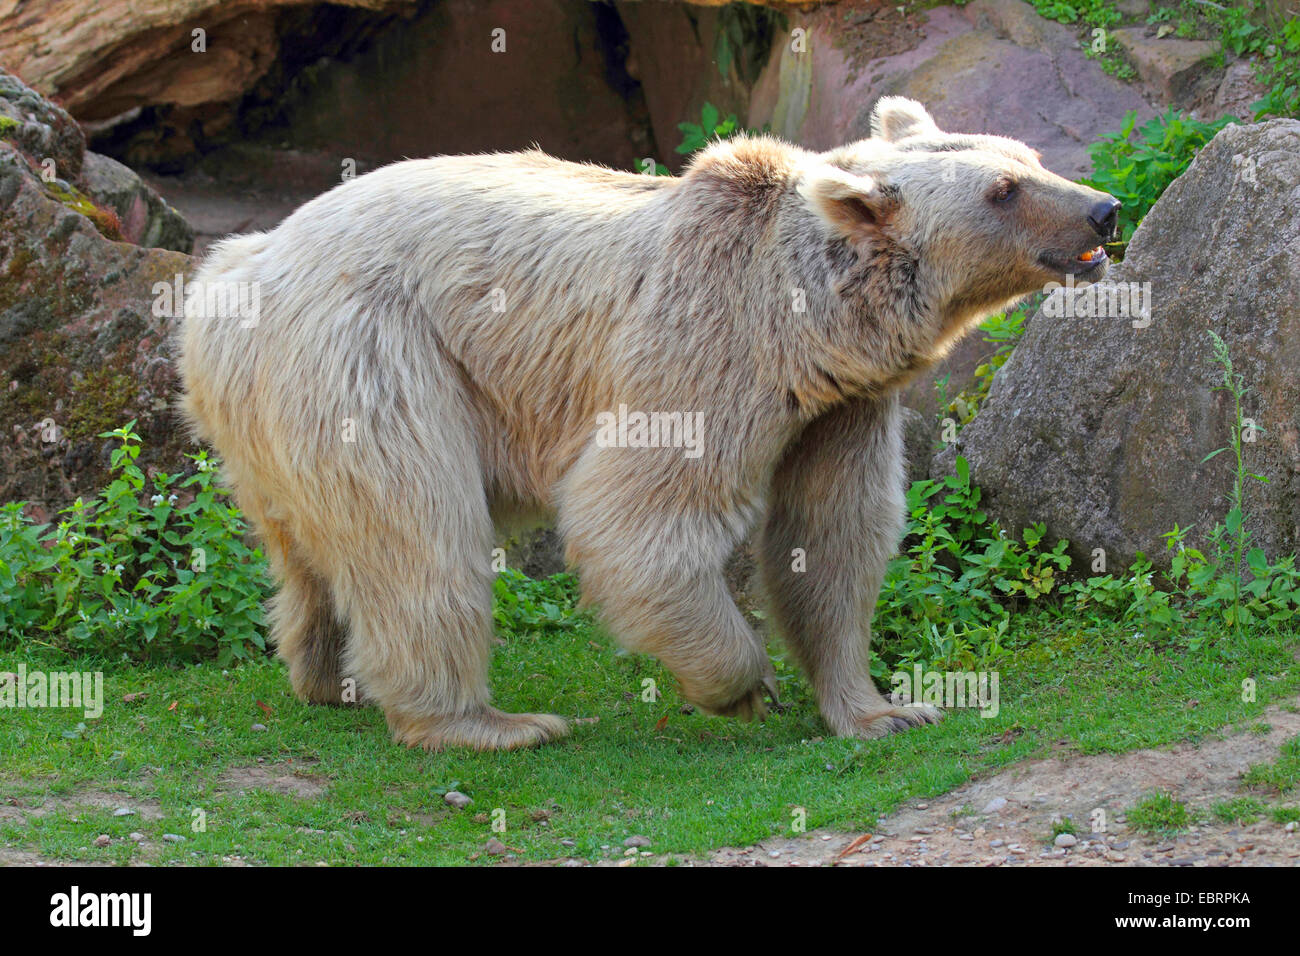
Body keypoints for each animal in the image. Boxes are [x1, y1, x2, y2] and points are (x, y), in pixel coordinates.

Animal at [177, 97, 1119, 751]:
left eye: (1028, 156)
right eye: (1003, 191)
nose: (1104, 209)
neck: (812, 324)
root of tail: (238, 268)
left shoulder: (839, 408)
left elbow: (832, 537)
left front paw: (883, 708)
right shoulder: (711, 345)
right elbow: (637, 512)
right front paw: (745, 684)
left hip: (270, 410)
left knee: (310, 546)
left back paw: (324, 670)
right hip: (375, 353)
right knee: (421, 530)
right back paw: (487, 722)